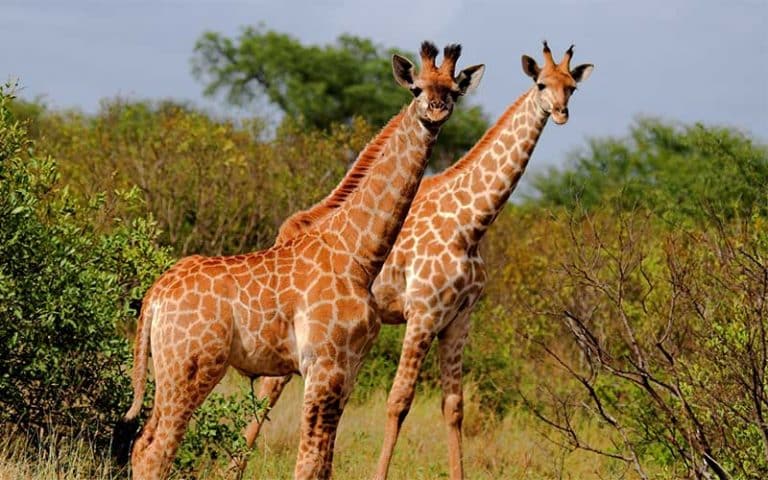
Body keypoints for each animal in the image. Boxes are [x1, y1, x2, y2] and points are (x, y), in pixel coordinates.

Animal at [112, 41, 485, 480]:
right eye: (417, 88)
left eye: (454, 90)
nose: (437, 110)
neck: (359, 255)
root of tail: (155, 296)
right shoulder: (322, 367)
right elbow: (306, 465)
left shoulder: (347, 371)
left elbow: (323, 465)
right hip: (191, 367)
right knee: (156, 450)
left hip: (173, 369)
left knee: (143, 443)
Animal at [243, 42, 593, 480]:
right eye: (542, 84)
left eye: (572, 87)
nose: (561, 113)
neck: (471, 225)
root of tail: (289, 230)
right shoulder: (423, 313)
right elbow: (398, 401)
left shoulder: (459, 319)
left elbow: (454, 407)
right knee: (269, 389)